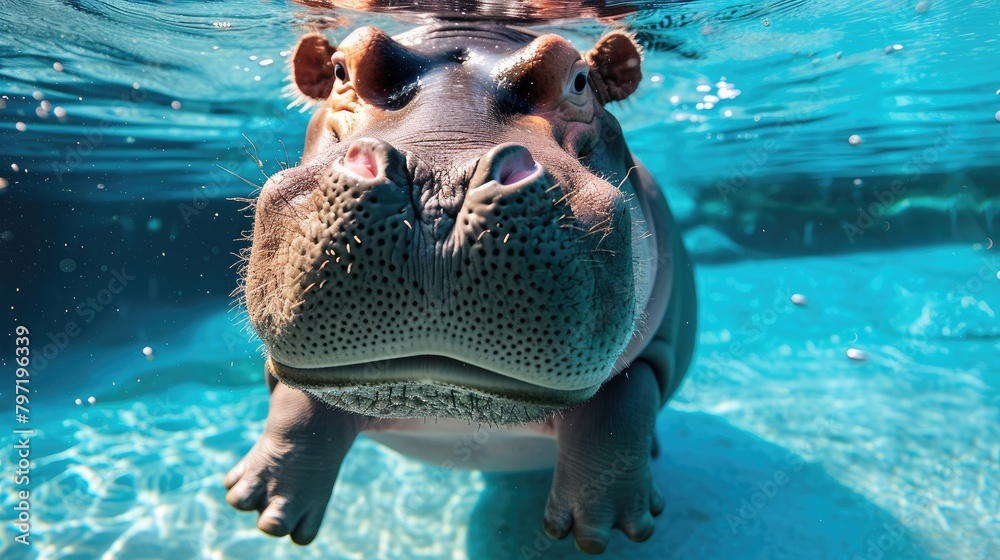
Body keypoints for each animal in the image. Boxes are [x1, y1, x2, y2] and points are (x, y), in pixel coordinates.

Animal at [224, 22, 697, 554]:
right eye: (341, 70)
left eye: (579, 80)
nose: (439, 187)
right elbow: (299, 404)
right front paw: (264, 502)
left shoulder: (659, 345)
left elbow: (623, 403)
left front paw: (601, 530)